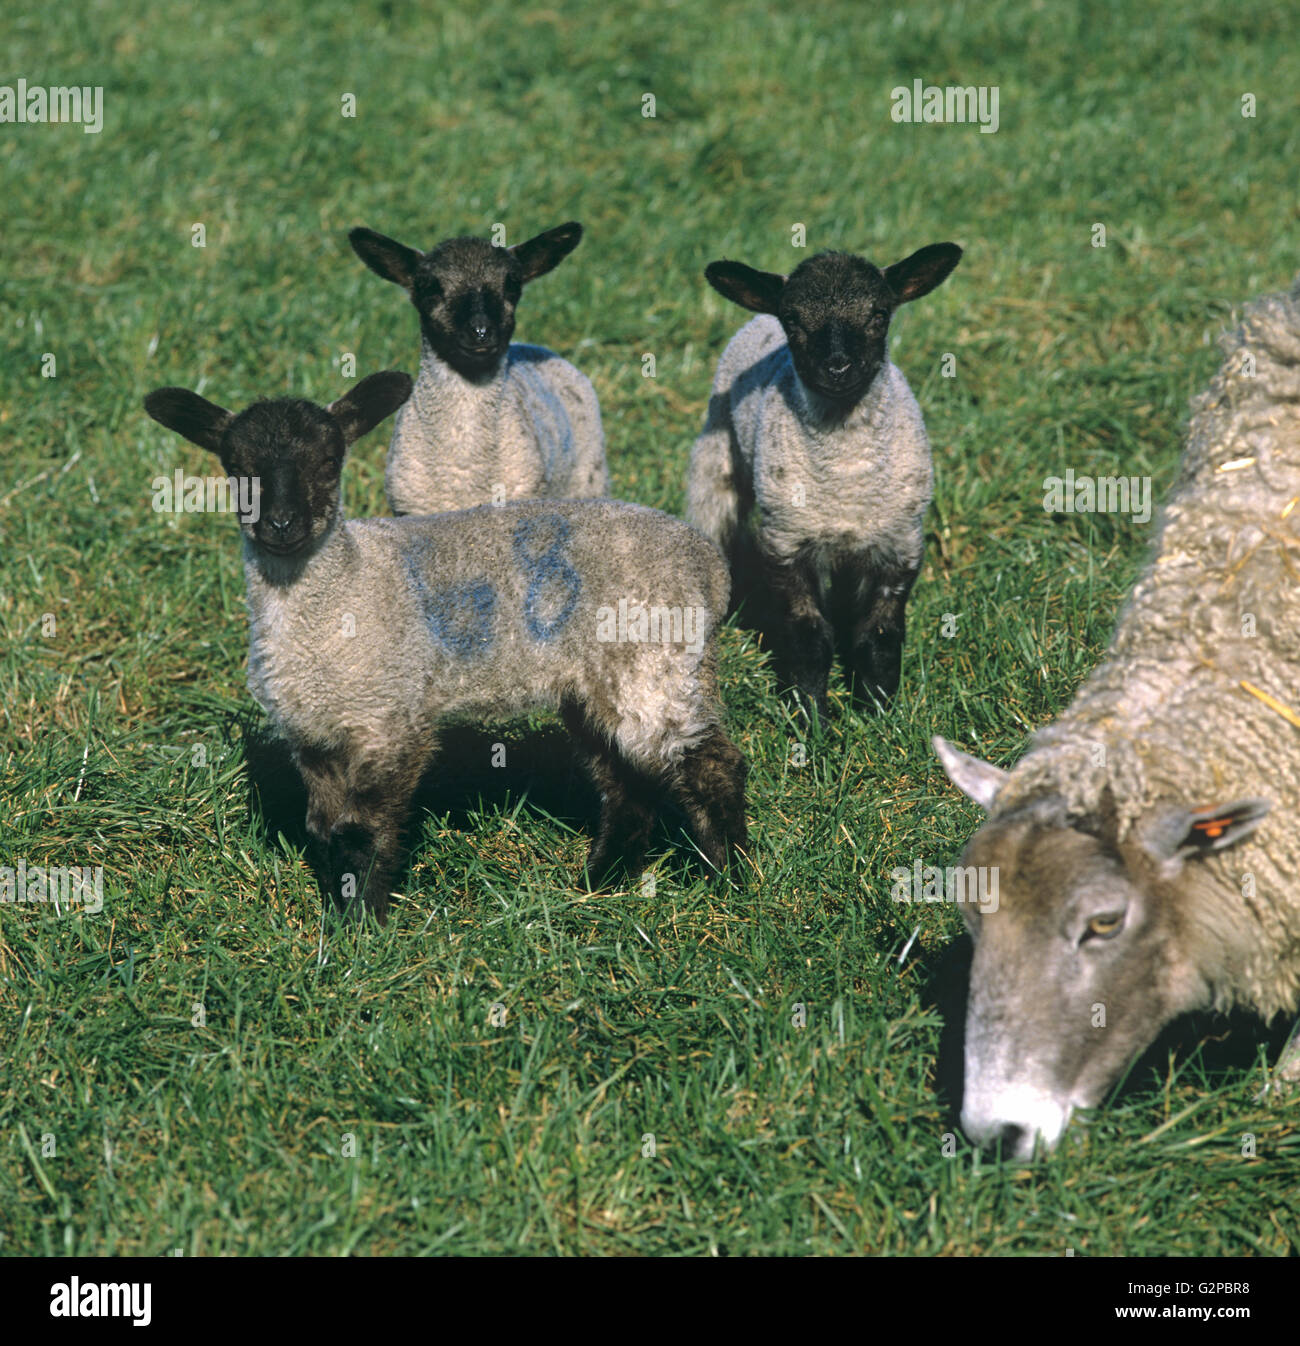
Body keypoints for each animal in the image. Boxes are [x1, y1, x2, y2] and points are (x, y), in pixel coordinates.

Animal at [142, 372, 747, 921]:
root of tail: (711, 567)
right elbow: (324, 828)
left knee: (710, 764)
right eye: (235, 466)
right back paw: (601, 882)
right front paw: (338, 919)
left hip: (656, 657)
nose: (282, 524)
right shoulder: (314, 734)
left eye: (329, 461)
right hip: (601, 679)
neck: (341, 590)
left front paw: (363, 929)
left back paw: (731, 879)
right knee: (626, 777)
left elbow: (361, 831)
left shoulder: (390, 717)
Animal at [685, 242, 962, 717]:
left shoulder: (900, 543)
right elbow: (808, 634)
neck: (844, 477)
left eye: (879, 313)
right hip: (715, 462)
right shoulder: (786, 542)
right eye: (793, 318)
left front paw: (877, 710)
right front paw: (810, 712)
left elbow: (880, 634)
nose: (837, 367)